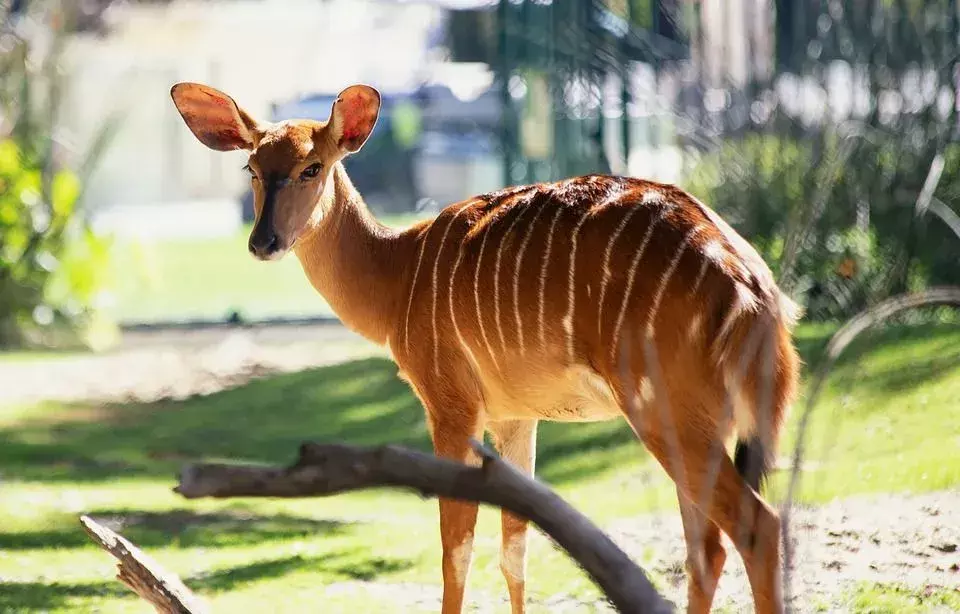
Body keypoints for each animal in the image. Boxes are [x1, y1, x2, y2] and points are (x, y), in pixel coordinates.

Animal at [171, 83, 796, 614]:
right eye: (252, 167)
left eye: (312, 166)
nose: (263, 242)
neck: (399, 273)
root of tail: (750, 282)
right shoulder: (516, 417)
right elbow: (516, 549)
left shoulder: (451, 408)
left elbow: (455, 552)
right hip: (697, 421)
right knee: (705, 545)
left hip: (663, 411)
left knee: (753, 527)